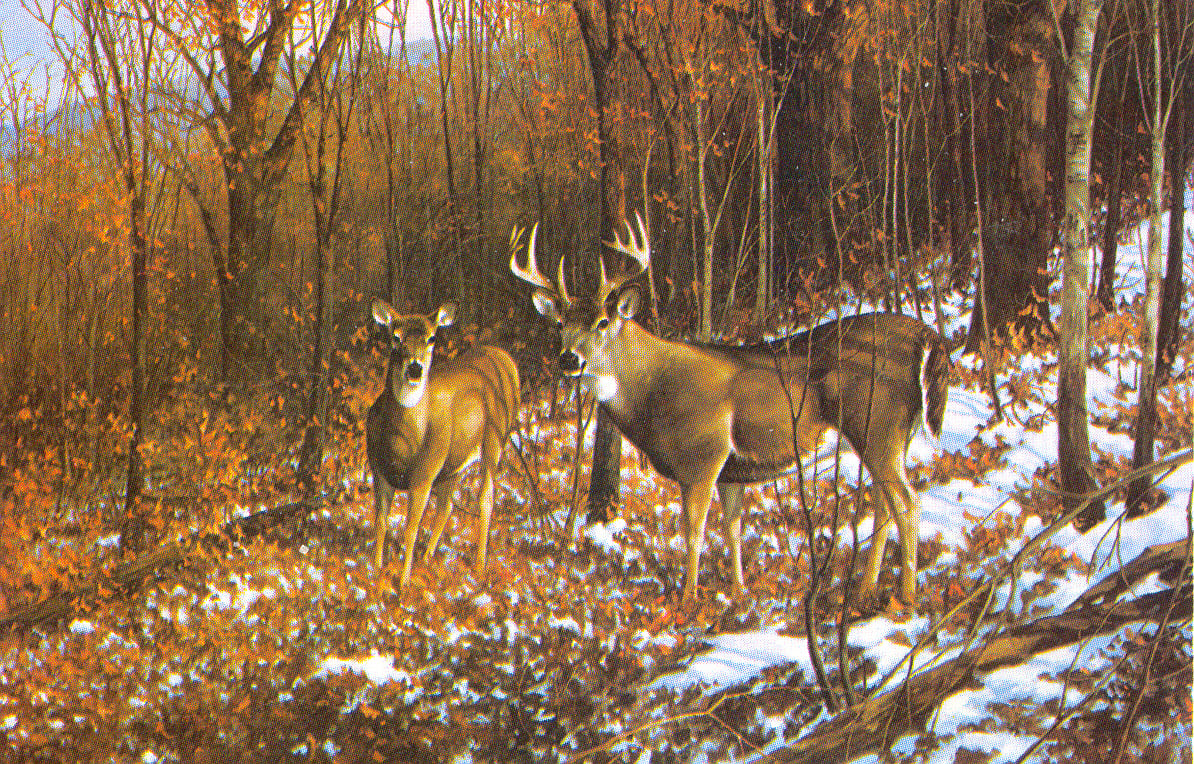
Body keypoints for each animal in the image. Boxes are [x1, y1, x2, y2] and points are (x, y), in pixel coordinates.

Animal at [366, 299, 521, 591]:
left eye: (432, 338)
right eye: (395, 337)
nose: (415, 369)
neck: (401, 438)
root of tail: (505, 358)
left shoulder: (424, 472)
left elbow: (411, 529)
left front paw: (403, 583)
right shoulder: (378, 468)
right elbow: (380, 521)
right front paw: (376, 569)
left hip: (494, 439)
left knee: (486, 498)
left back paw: (479, 566)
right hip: (453, 460)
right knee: (447, 505)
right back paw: (428, 558)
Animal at [510, 215, 949, 604]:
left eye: (603, 322)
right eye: (561, 324)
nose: (569, 359)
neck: (651, 390)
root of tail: (924, 335)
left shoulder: (703, 454)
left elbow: (694, 529)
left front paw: (688, 598)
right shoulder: (733, 471)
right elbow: (732, 527)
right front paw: (738, 592)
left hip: (877, 428)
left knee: (908, 502)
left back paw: (907, 597)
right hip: (893, 436)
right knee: (885, 504)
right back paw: (865, 590)